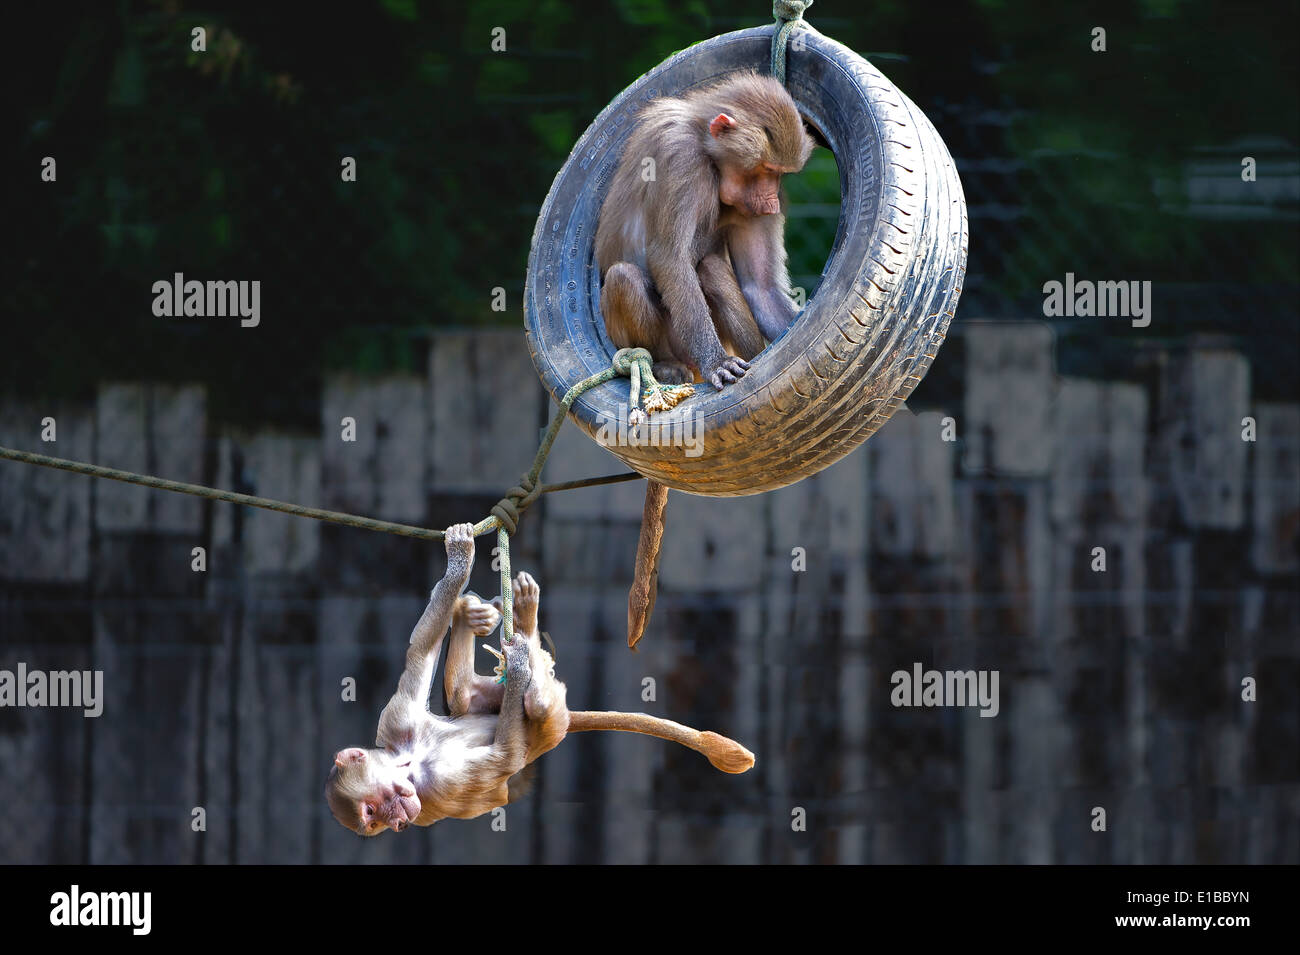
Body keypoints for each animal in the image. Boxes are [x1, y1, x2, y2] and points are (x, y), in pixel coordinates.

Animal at [325, 523, 755, 835]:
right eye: (371, 818)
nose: (398, 820)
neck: (412, 763)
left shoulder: (398, 721)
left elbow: (421, 648)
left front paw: (459, 562)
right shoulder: (439, 787)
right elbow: (505, 758)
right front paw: (517, 667)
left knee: (464, 696)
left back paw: (478, 616)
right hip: (553, 718)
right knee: (536, 704)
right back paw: (526, 634)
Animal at [595, 70, 815, 392]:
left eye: (779, 173)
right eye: (766, 169)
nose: (772, 203)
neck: (706, 150)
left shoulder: (747, 208)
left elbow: (760, 288)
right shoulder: (680, 155)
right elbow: (668, 257)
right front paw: (716, 363)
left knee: (712, 268)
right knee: (624, 278)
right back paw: (666, 365)